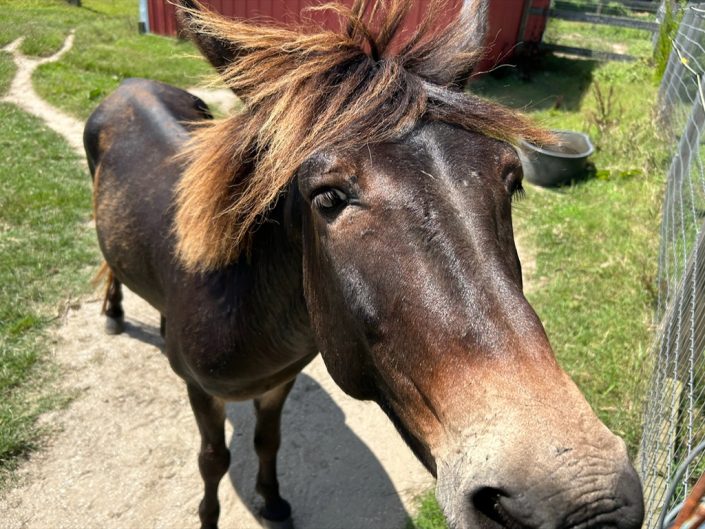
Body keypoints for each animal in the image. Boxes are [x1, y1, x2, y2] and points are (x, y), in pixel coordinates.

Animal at [84, 1, 644, 528]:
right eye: (328, 198)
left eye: (513, 179)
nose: (589, 505)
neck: (241, 302)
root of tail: (129, 85)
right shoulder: (201, 392)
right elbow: (212, 460)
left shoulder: (280, 383)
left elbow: (268, 441)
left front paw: (274, 502)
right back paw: (112, 312)